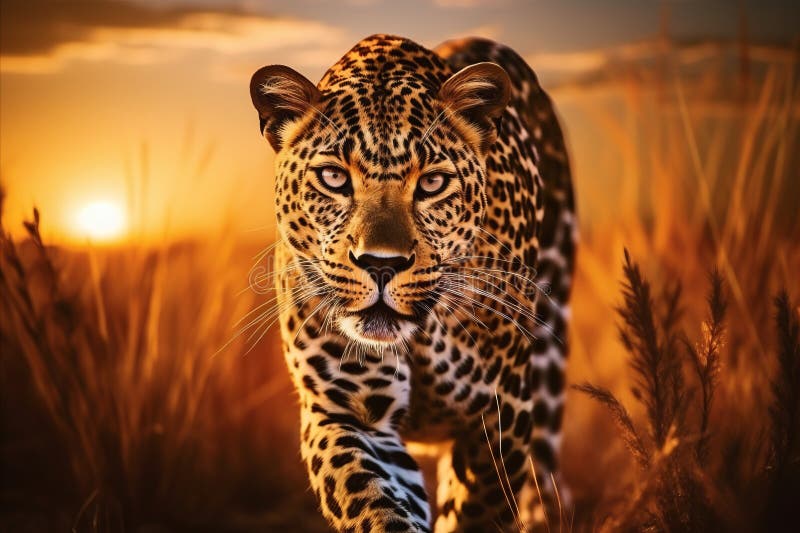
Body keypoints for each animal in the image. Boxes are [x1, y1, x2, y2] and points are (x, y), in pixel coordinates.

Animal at [248, 34, 575, 532]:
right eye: (334, 177)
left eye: (433, 183)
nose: (381, 264)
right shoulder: (348, 415)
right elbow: (376, 504)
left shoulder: (500, 417)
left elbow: (480, 510)